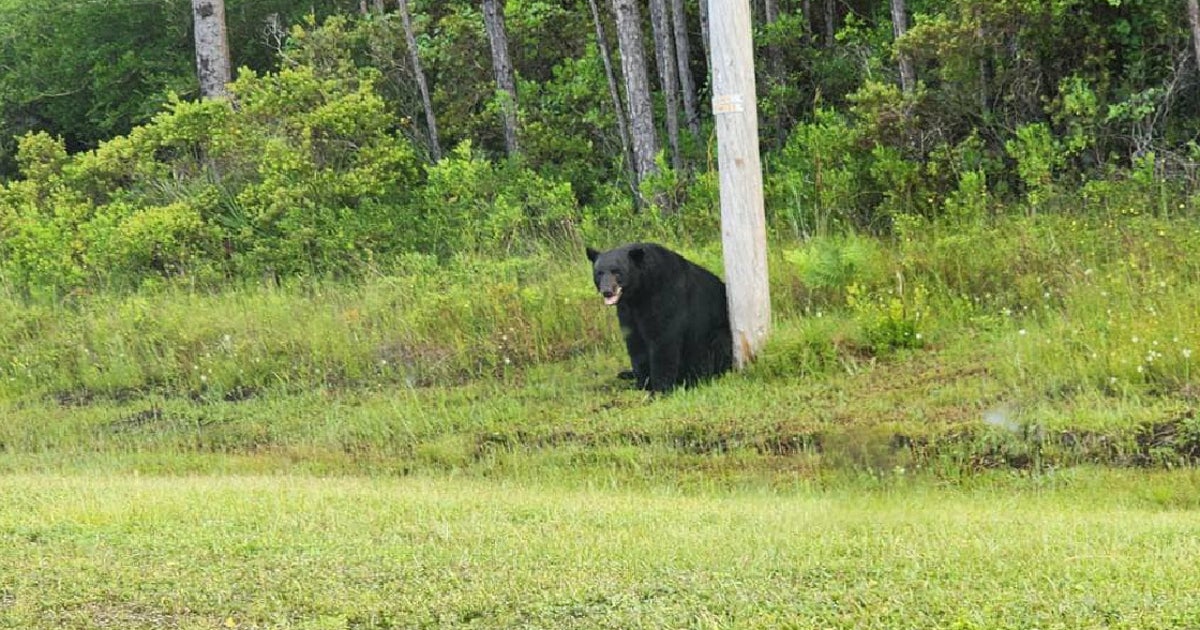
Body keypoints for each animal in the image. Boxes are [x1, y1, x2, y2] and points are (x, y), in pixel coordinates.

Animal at [586, 242, 733, 392]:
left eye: (616, 271)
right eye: (599, 273)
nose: (607, 291)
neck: (639, 293)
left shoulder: (666, 298)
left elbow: (663, 340)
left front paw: (660, 389)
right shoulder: (627, 311)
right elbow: (635, 342)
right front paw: (643, 384)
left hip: (717, 334)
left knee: (715, 349)